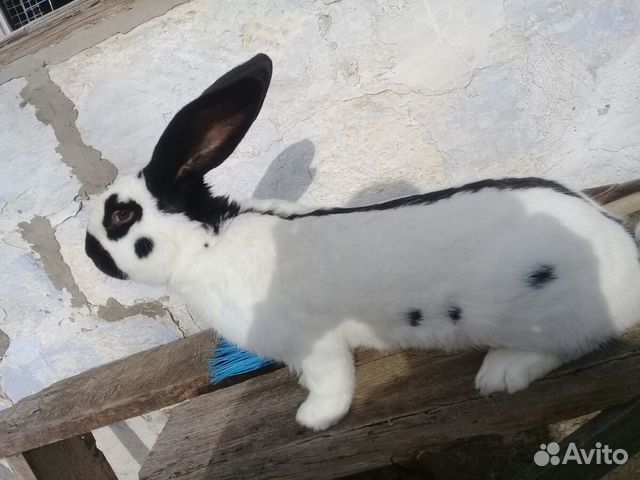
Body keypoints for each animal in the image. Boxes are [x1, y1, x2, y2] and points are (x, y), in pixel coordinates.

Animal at [85, 53, 640, 431]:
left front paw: (312, 418)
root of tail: (625, 256)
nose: (90, 253)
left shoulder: (314, 343)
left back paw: (499, 374)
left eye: (120, 214)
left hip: (546, 314)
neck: (207, 242)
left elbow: (332, 382)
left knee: (570, 344)